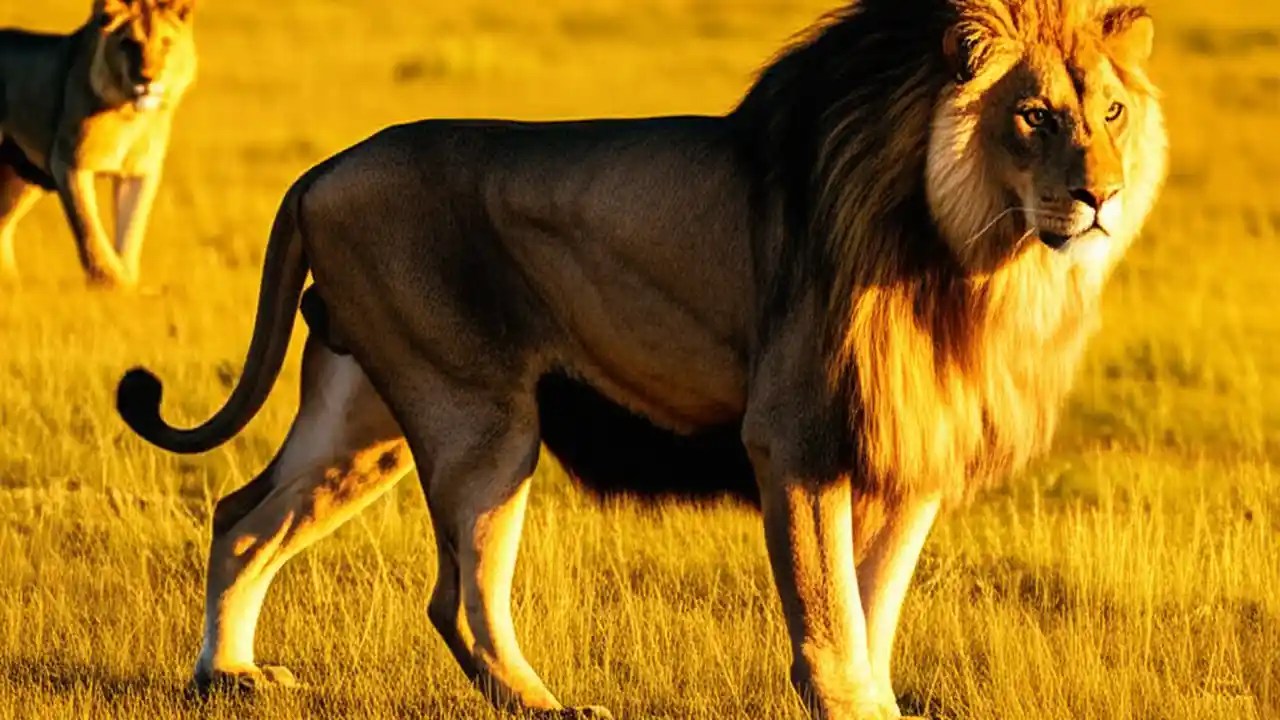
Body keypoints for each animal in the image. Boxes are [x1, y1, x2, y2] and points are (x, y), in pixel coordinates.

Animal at [0, 0, 197, 287]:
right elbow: (89, 228)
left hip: (24, 176)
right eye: (128, 43)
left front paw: (128, 280)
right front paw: (112, 282)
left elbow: (131, 230)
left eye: (166, 43)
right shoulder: (68, 163)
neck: (129, 113)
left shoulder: (140, 172)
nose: (147, 79)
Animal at [115, 1, 1168, 717]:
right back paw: (548, 706)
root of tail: (319, 172)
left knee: (243, 515)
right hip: (480, 416)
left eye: (1112, 113)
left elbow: (876, 608)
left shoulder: (914, 449)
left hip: (362, 421)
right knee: (458, 597)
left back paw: (232, 677)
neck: (974, 256)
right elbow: (831, 615)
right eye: (1034, 115)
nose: (1103, 198)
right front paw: (848, 701)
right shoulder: (793, 437)